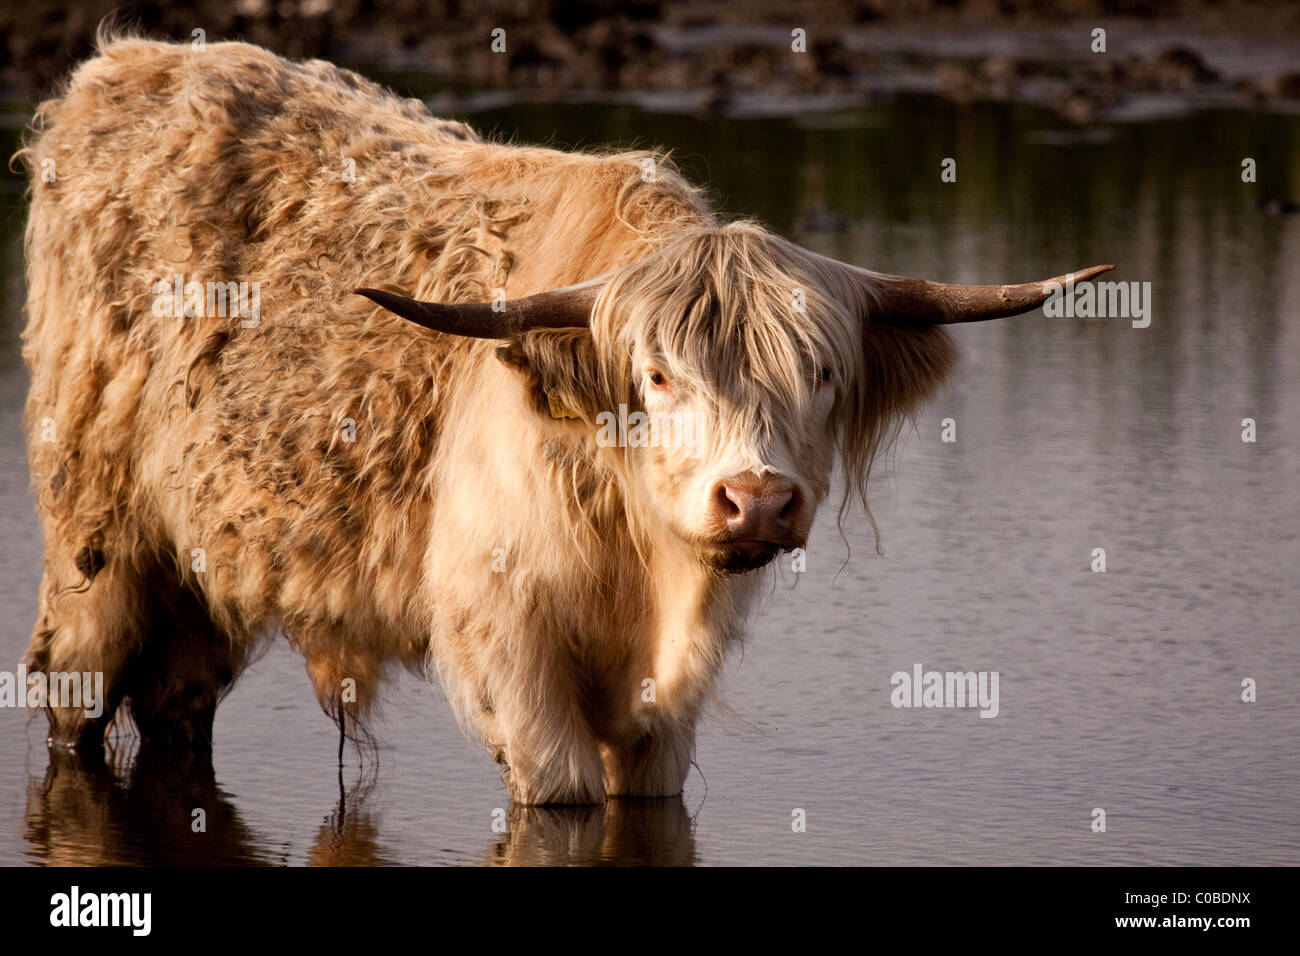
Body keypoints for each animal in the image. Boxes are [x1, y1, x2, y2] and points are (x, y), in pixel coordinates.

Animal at [16, 33, 1110, 805]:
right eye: (657, 376)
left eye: (825, 371)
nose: (757, 500)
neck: (640, 556)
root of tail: (134, 62)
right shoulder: (508, 646)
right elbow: (561, 794)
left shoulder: (666, 711)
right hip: (93, 550)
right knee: (75, 698)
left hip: (200, 567)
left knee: (176, 705)